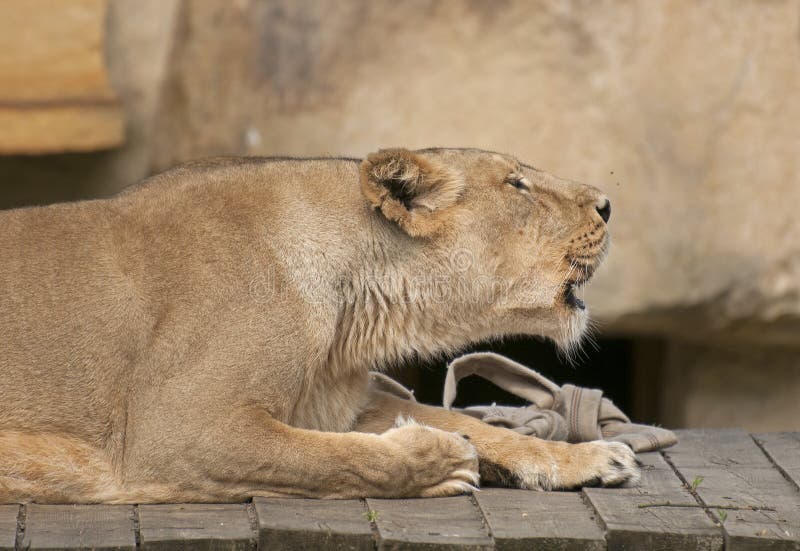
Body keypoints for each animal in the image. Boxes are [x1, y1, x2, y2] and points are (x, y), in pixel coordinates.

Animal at [0, 147, 637, 503]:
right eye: (516, 184)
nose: (609, 205)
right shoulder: (176, 432)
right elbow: (336, 459)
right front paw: (438, 461)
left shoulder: (338, 406)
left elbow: (473, 424)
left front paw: (587, 458)